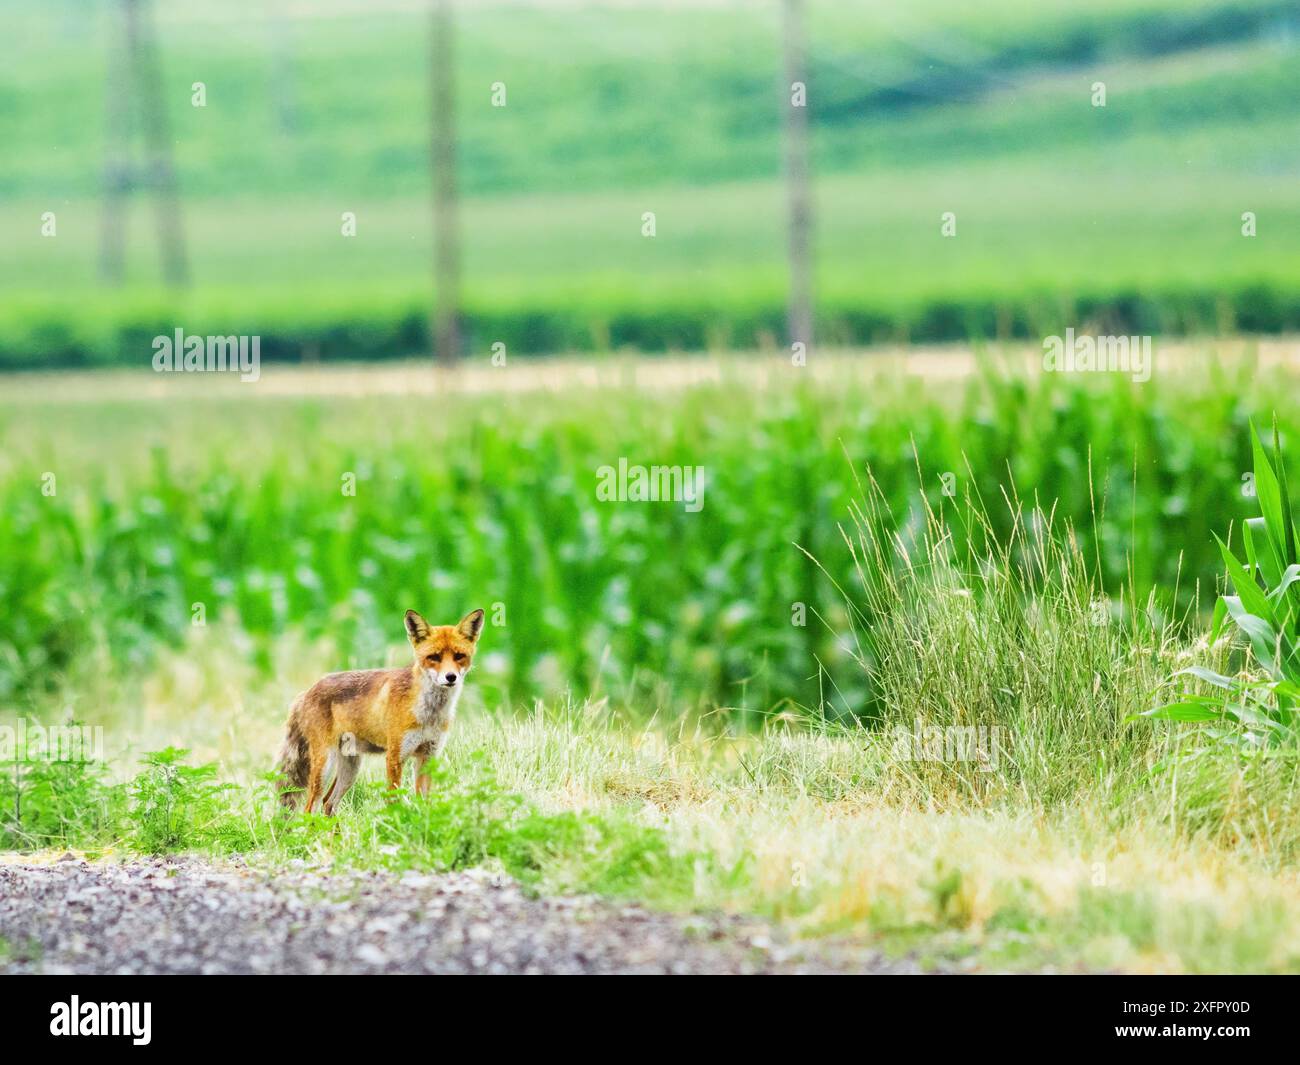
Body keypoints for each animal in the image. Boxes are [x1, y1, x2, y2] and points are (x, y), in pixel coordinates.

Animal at [275, 607, 485, 814]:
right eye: (434, 657)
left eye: (459, 656)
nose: (451, 677)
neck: (429, 714)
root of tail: (306, 692)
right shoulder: (395, 756)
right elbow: (393, 801)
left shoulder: (428, 756)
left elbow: (424, 803)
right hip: (325, 765)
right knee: (310, 809)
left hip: (351, 768)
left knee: (328, 803)